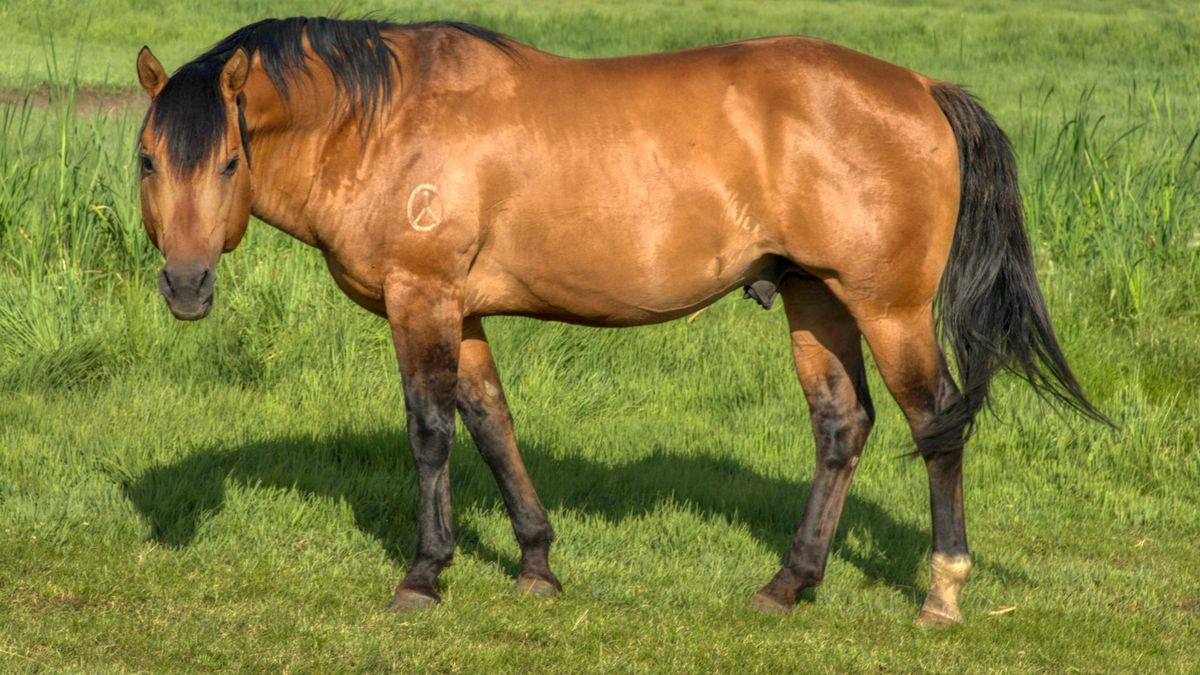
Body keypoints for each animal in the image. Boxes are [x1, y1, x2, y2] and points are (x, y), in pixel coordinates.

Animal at [134, 16, 1109, 624]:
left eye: (227, 162)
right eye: (148, 159)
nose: (185, 287)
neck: (385, 123)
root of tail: (917, 84)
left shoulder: (422, 299)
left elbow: (431, 431)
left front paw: (425, 573)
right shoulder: (464, 310)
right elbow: (492, 423)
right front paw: (536, 564)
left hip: (889, 307)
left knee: (936, 425)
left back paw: (942, 591)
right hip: (815, 298)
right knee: (842, 425)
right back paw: (787, 584)